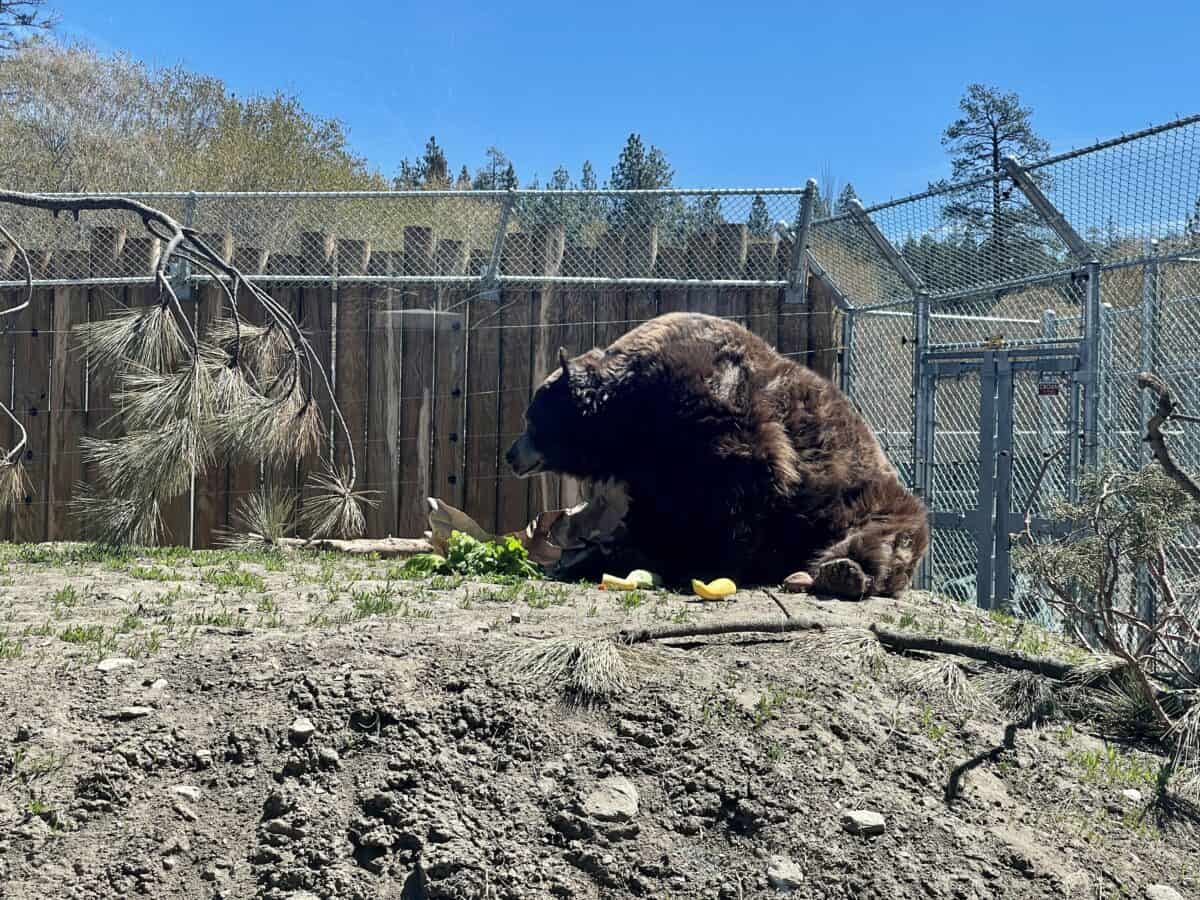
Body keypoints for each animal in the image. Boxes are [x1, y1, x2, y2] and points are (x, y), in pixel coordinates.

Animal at [504, 312, 930, 598]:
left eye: (531, 419)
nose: (511, 454)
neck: (631, 416)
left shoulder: (715, 413)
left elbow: (742, 488)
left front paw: (705, 562)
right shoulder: (651, 465)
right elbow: (655, 511)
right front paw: (615, 553)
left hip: (867, 500)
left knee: (880, 539)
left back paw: (841, 571)